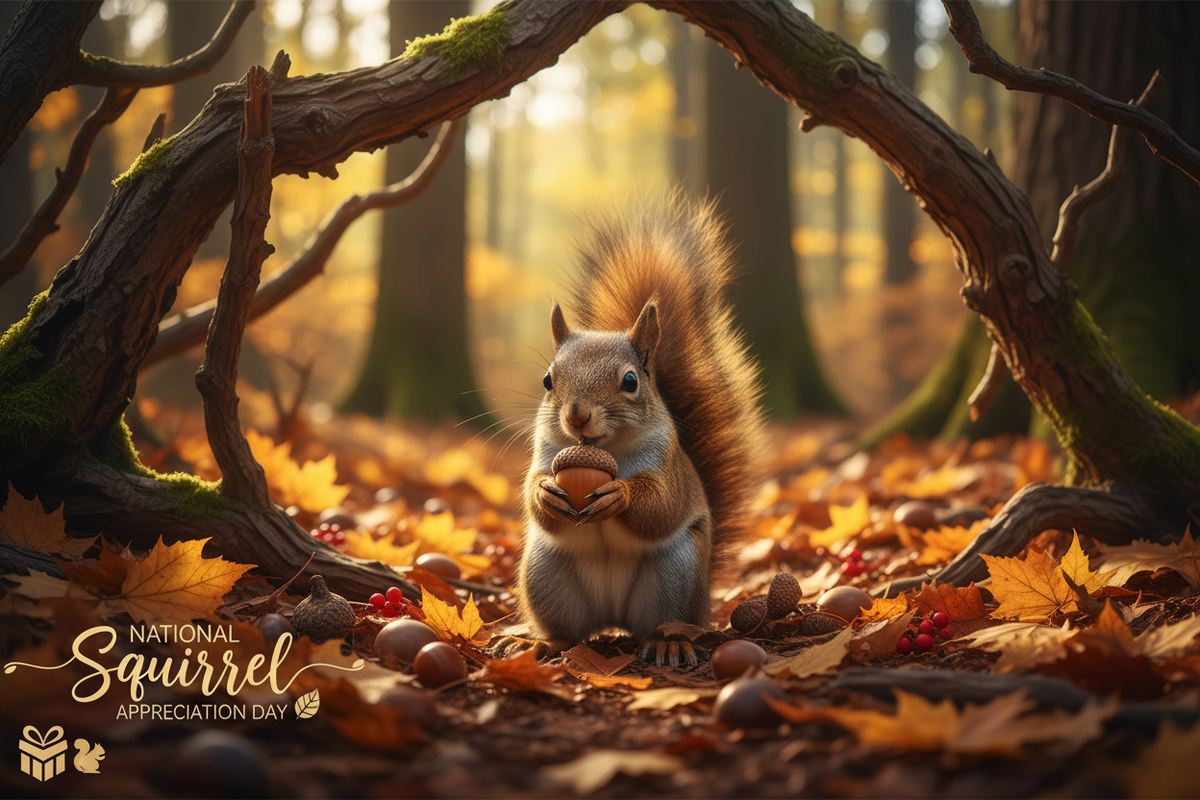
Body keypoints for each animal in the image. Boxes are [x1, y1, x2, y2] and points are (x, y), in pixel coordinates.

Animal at [516, 195, 766, 667]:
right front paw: (545, 492)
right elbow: (532, 493)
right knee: (569, 633)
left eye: (630, 381)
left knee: (662, 623)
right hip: (544, 573)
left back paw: (668, 642)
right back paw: (543, 643)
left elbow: (660, 505)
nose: (577, 417)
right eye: (547, 380)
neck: (607, 450)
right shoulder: (546, 451)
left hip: (674, 576)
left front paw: (621, 494)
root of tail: (613, 619)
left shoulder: (666, 463)